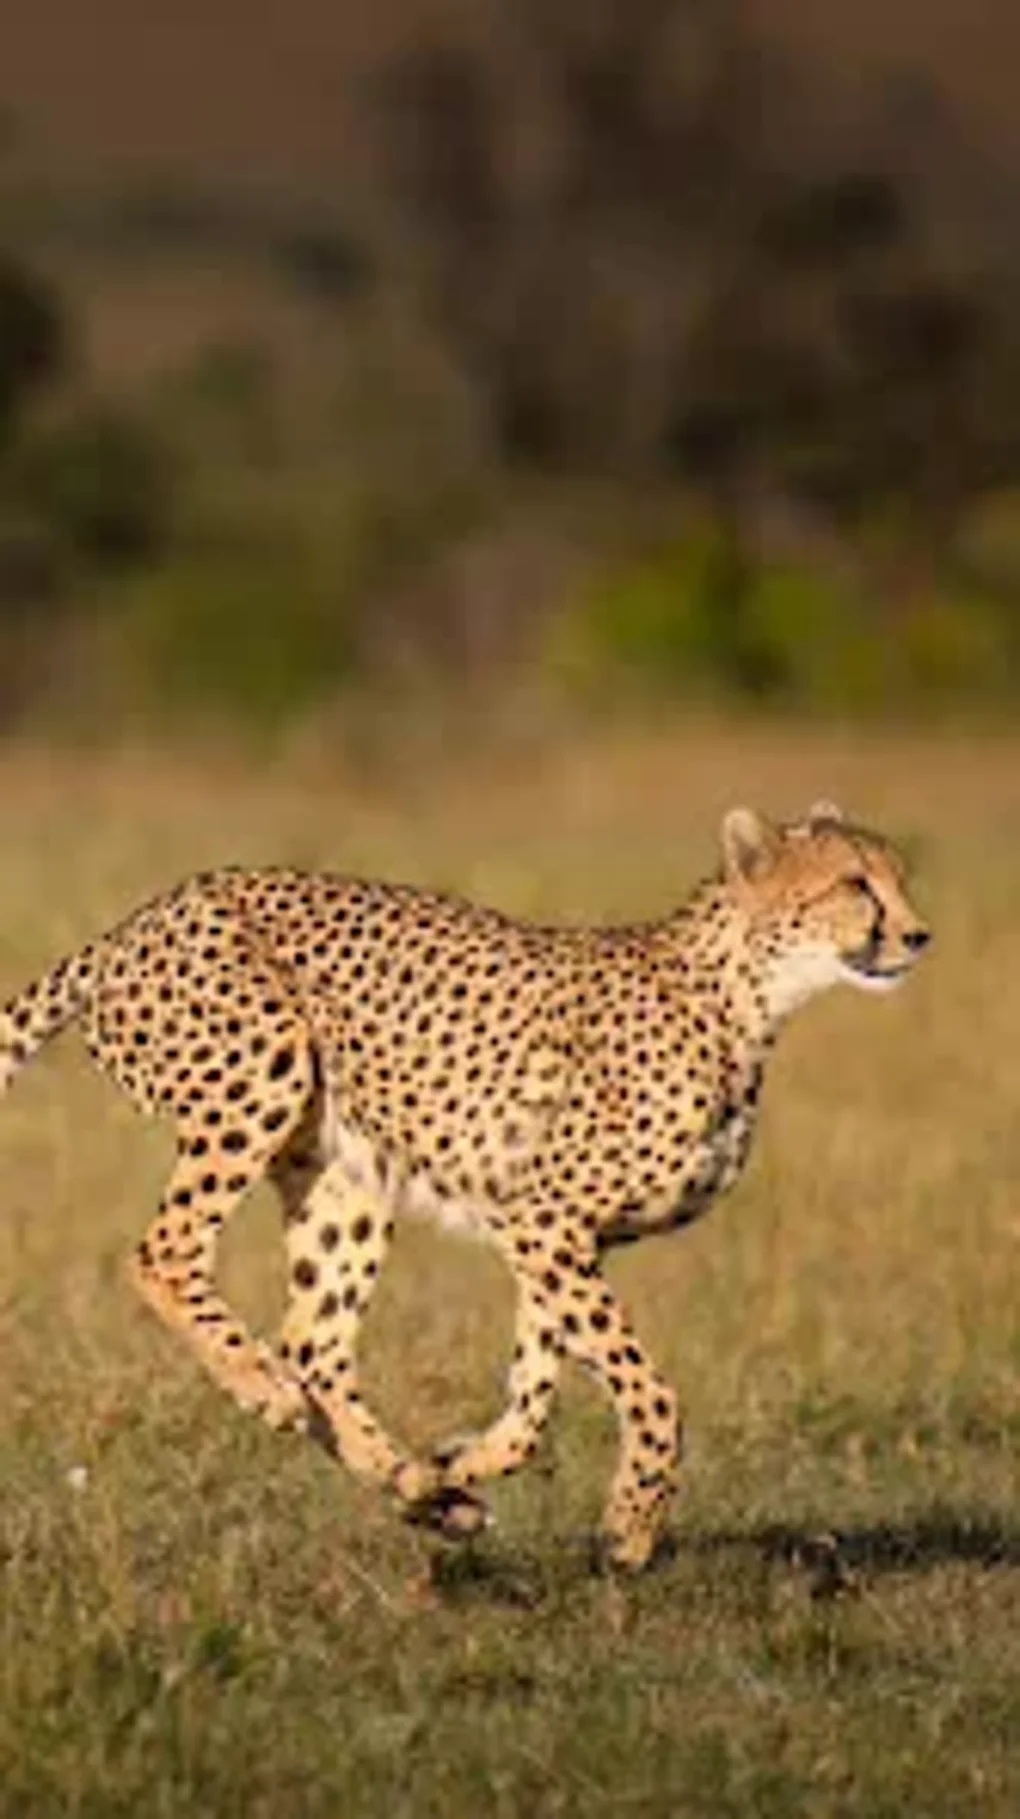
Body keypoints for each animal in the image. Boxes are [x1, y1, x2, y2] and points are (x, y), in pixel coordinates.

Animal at [0, 799, 929, 1570]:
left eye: (898, 878)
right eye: (855, 884)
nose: (917, 935)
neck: (747, 994)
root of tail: (148, 912)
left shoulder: (559, 1236)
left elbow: (537, 1385)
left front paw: (464, 1462)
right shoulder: (545, 1219)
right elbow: (649, 1388)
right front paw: (633, 1524)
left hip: (346, 1177)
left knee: (316, 1344)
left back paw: (417, 1486)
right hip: (259, 1076)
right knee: (167, 1254)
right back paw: (265, 1388)